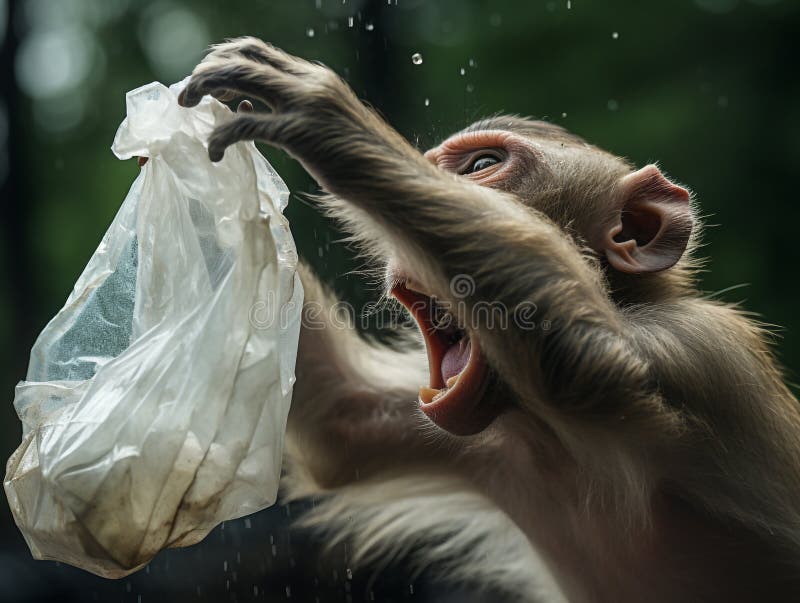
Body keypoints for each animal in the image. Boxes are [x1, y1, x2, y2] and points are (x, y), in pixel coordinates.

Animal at [178, 38, 800, 602]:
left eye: (481, 166)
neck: (550, 432)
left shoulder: (698, 349)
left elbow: (596, 360)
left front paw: (329, 122)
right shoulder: (480, 441)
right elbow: (341, 416)